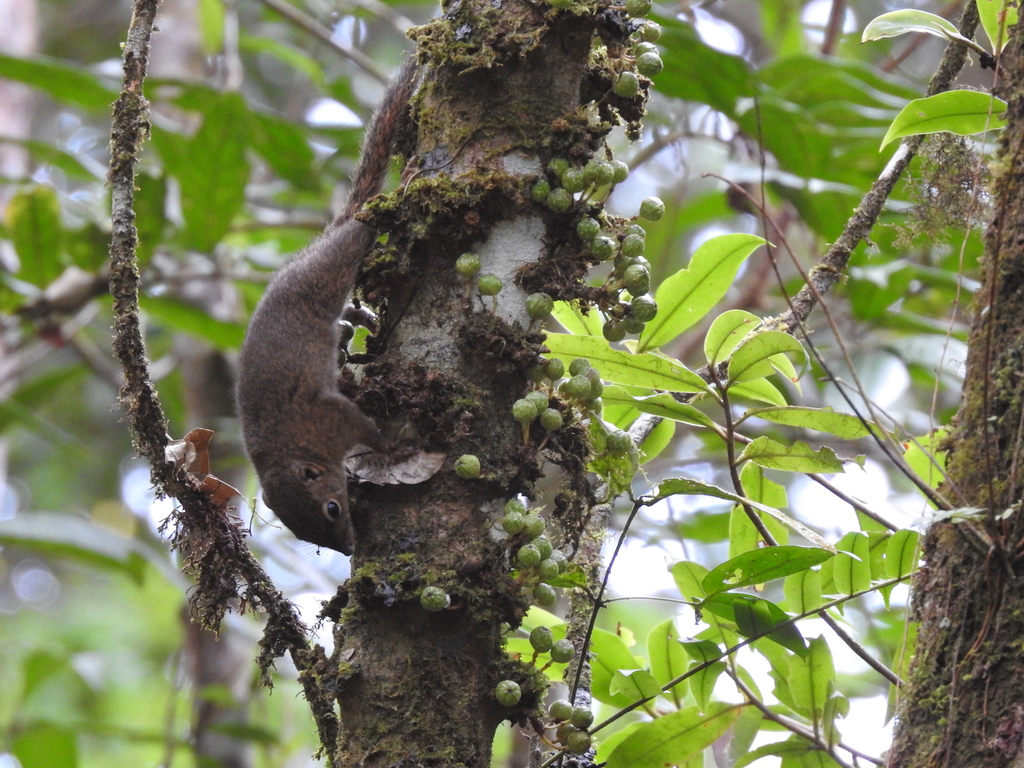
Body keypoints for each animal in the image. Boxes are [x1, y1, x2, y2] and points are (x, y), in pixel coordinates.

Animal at [237, 58, 420, 555]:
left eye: (332, 510)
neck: (294, 448)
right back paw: (350, 324)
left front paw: (393, 450)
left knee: (361, 233)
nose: (350, 549)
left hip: (339, 259)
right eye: (301, 533)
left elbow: (365, 428)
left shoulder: (329, 418)